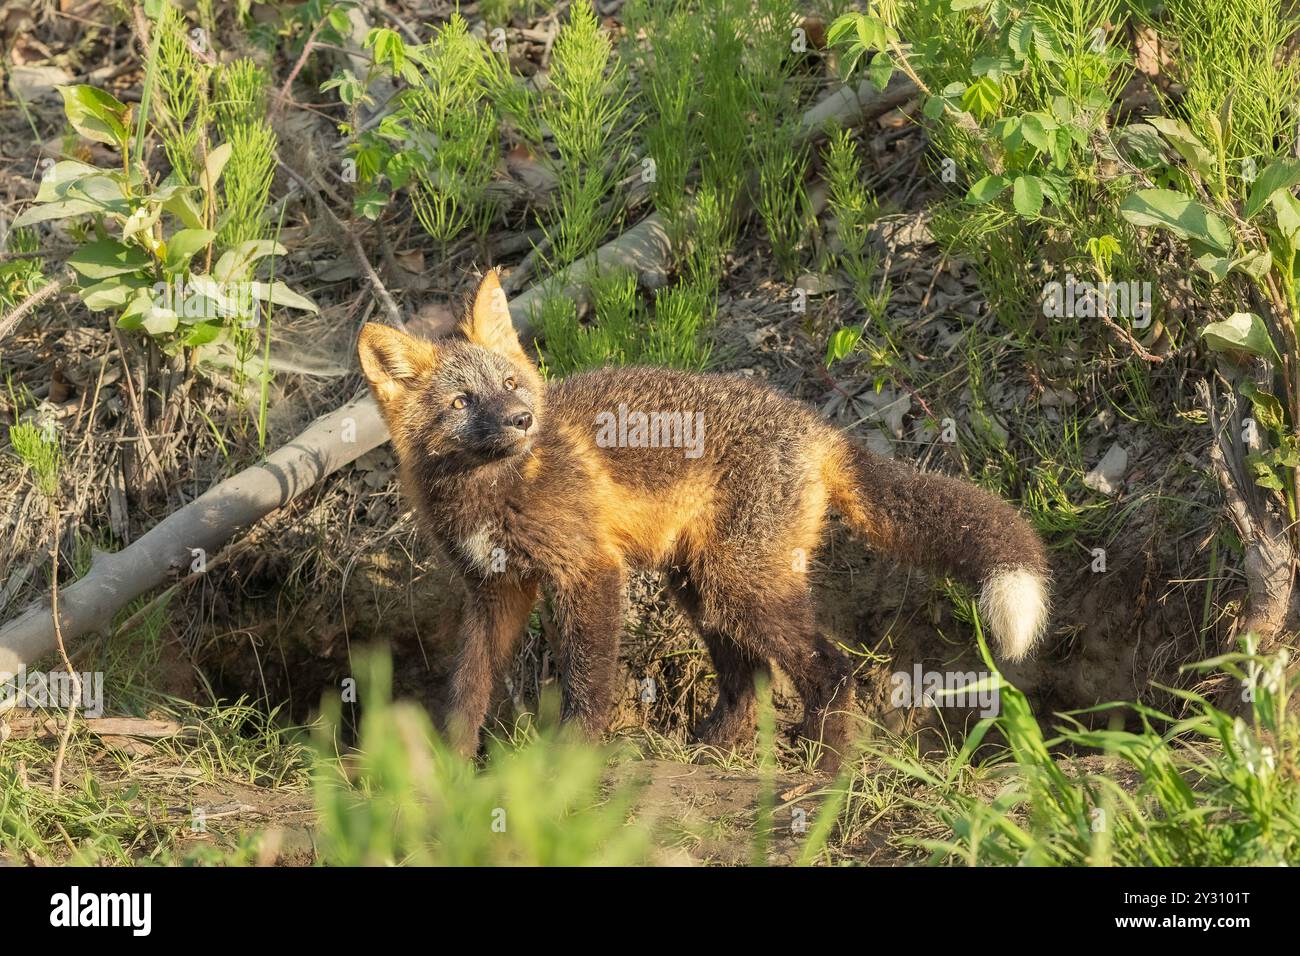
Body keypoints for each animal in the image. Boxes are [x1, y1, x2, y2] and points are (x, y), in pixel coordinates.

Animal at [358, 270, 1051, 765]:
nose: (523, 420)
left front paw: (570, 766)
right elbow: (465, 693)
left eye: (510, 384)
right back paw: (717, 747)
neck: (495, 489)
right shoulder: (494, 591)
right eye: (461, 401)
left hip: (739, 584)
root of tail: (816, 424)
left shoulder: (590, 571)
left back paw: (825, 770)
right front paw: (449, 771)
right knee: (754, 680)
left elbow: (587, 685)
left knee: (832, 667)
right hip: (702, 587)